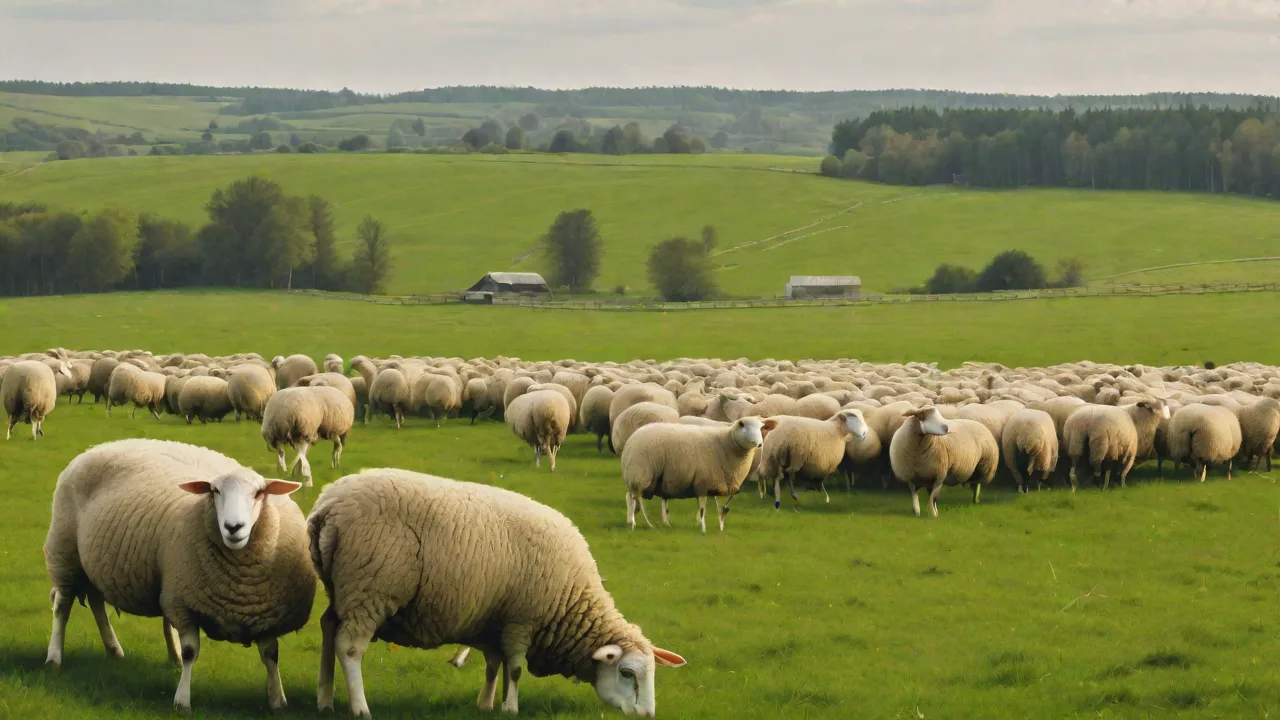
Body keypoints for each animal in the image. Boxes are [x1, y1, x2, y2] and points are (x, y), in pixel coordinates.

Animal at [44, 439, 315, 714]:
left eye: (259, 493)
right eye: (215, 491)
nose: (233, 527)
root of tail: (97, 447)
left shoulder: (265, 614)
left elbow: (271, 655)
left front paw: (278, 700)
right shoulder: (183, 603)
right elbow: (190, 652)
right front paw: (182, 700)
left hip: (94, 563)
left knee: (97, 603)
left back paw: (114, 649)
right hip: (64, 552)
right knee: (62, 606)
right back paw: (54, 657)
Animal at [309, 469, 686, 718]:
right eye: (627, 674)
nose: (648, 716)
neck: (570, 599)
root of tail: (327, 506)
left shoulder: (496, 620)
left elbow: (494, 664)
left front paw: (488, 704)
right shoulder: (522, 618)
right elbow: (515, 668)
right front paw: (510, 707)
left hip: (341, 589)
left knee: (328, 630)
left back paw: (325, 699)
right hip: (369, 588)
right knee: (350, 647)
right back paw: (360, 708)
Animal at [621, 417, 777, 533]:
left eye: (762, 427)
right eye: (742, 425)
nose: (759, 444)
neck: (726, 444)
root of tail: (632, 438)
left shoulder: (714, 482)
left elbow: (716, 508)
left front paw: (718, 526)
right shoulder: (702, 481)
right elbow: (703, 508)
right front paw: (703, 529)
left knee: (634, 499)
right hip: (639, 474)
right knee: (632, 498)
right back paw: (637, 524)